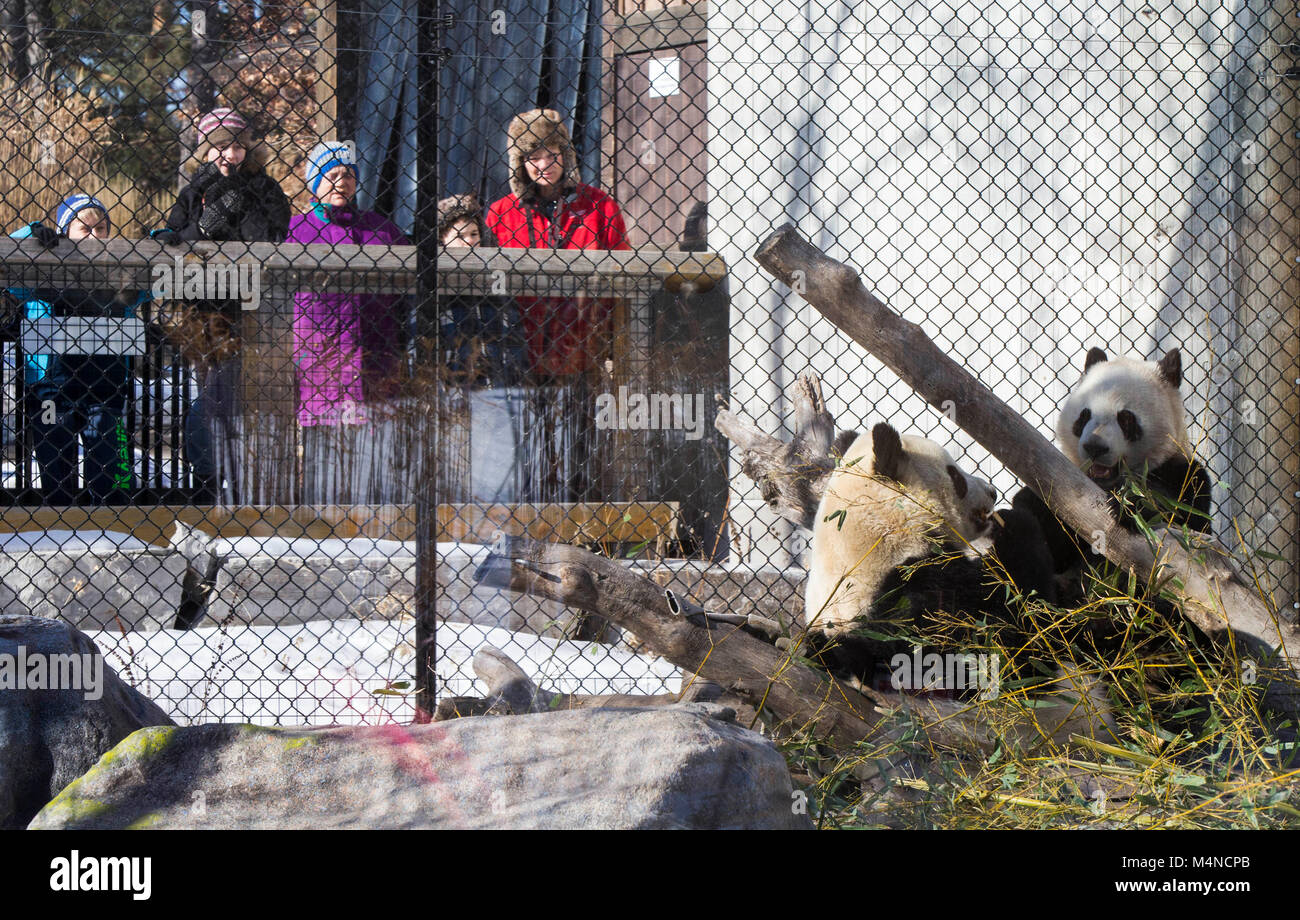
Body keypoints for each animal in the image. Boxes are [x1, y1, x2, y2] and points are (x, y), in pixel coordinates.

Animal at [1012, 346, 1213, 584]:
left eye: (1125, 418)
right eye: (1084, 415)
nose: (1095, 447)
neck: (1103, 483)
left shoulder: (1184, 474)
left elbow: (1185, 516)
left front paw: (1127, 503)